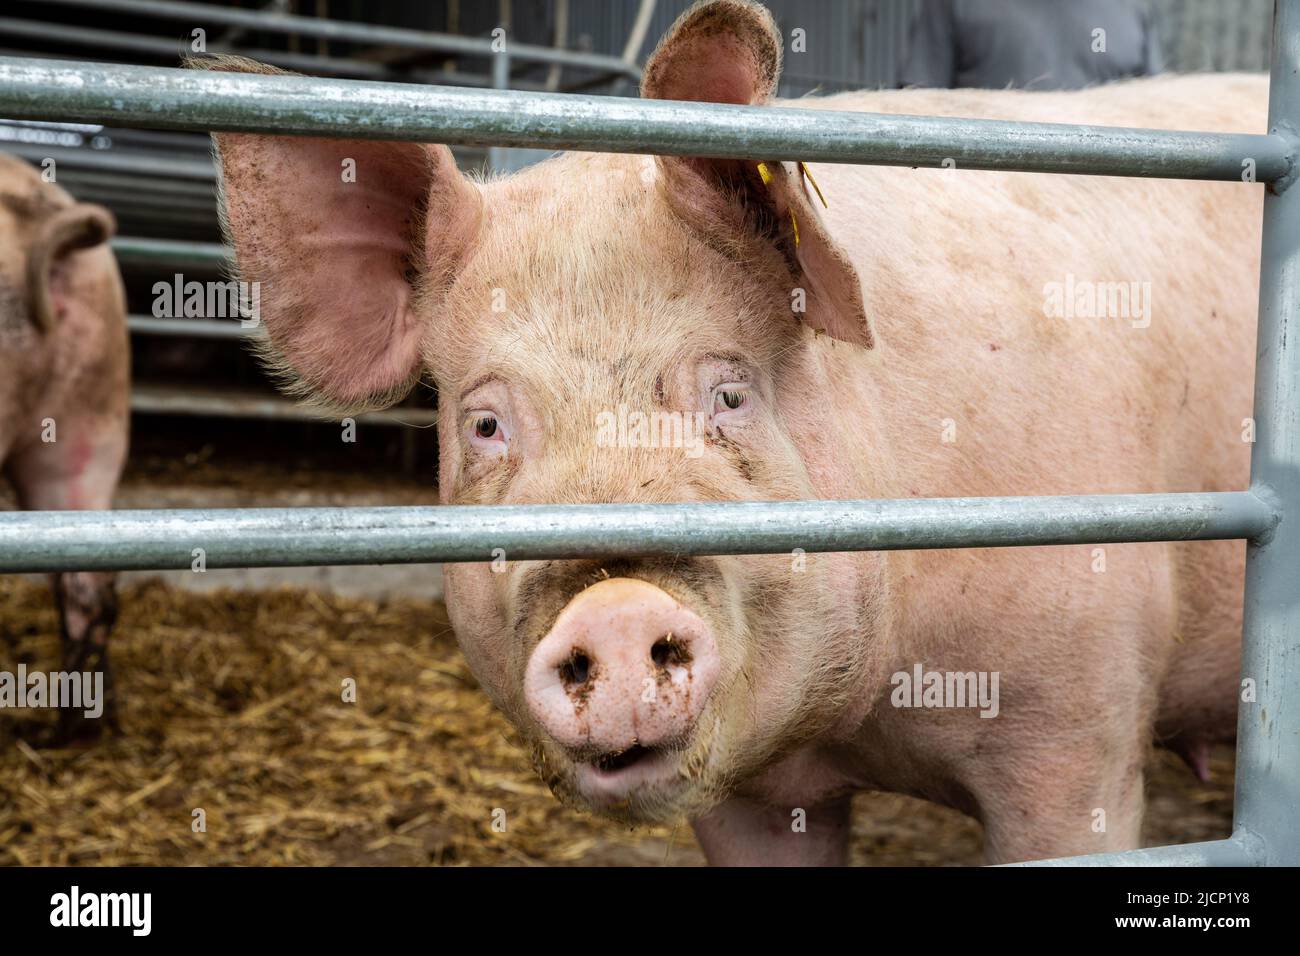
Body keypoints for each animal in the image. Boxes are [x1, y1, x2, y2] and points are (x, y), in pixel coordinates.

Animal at [202, 0, 1260, 864]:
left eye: (731, 393)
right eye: (487, 423)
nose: (614, 607)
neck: (862, 723)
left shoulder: (1079, 729)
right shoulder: (751, 799)